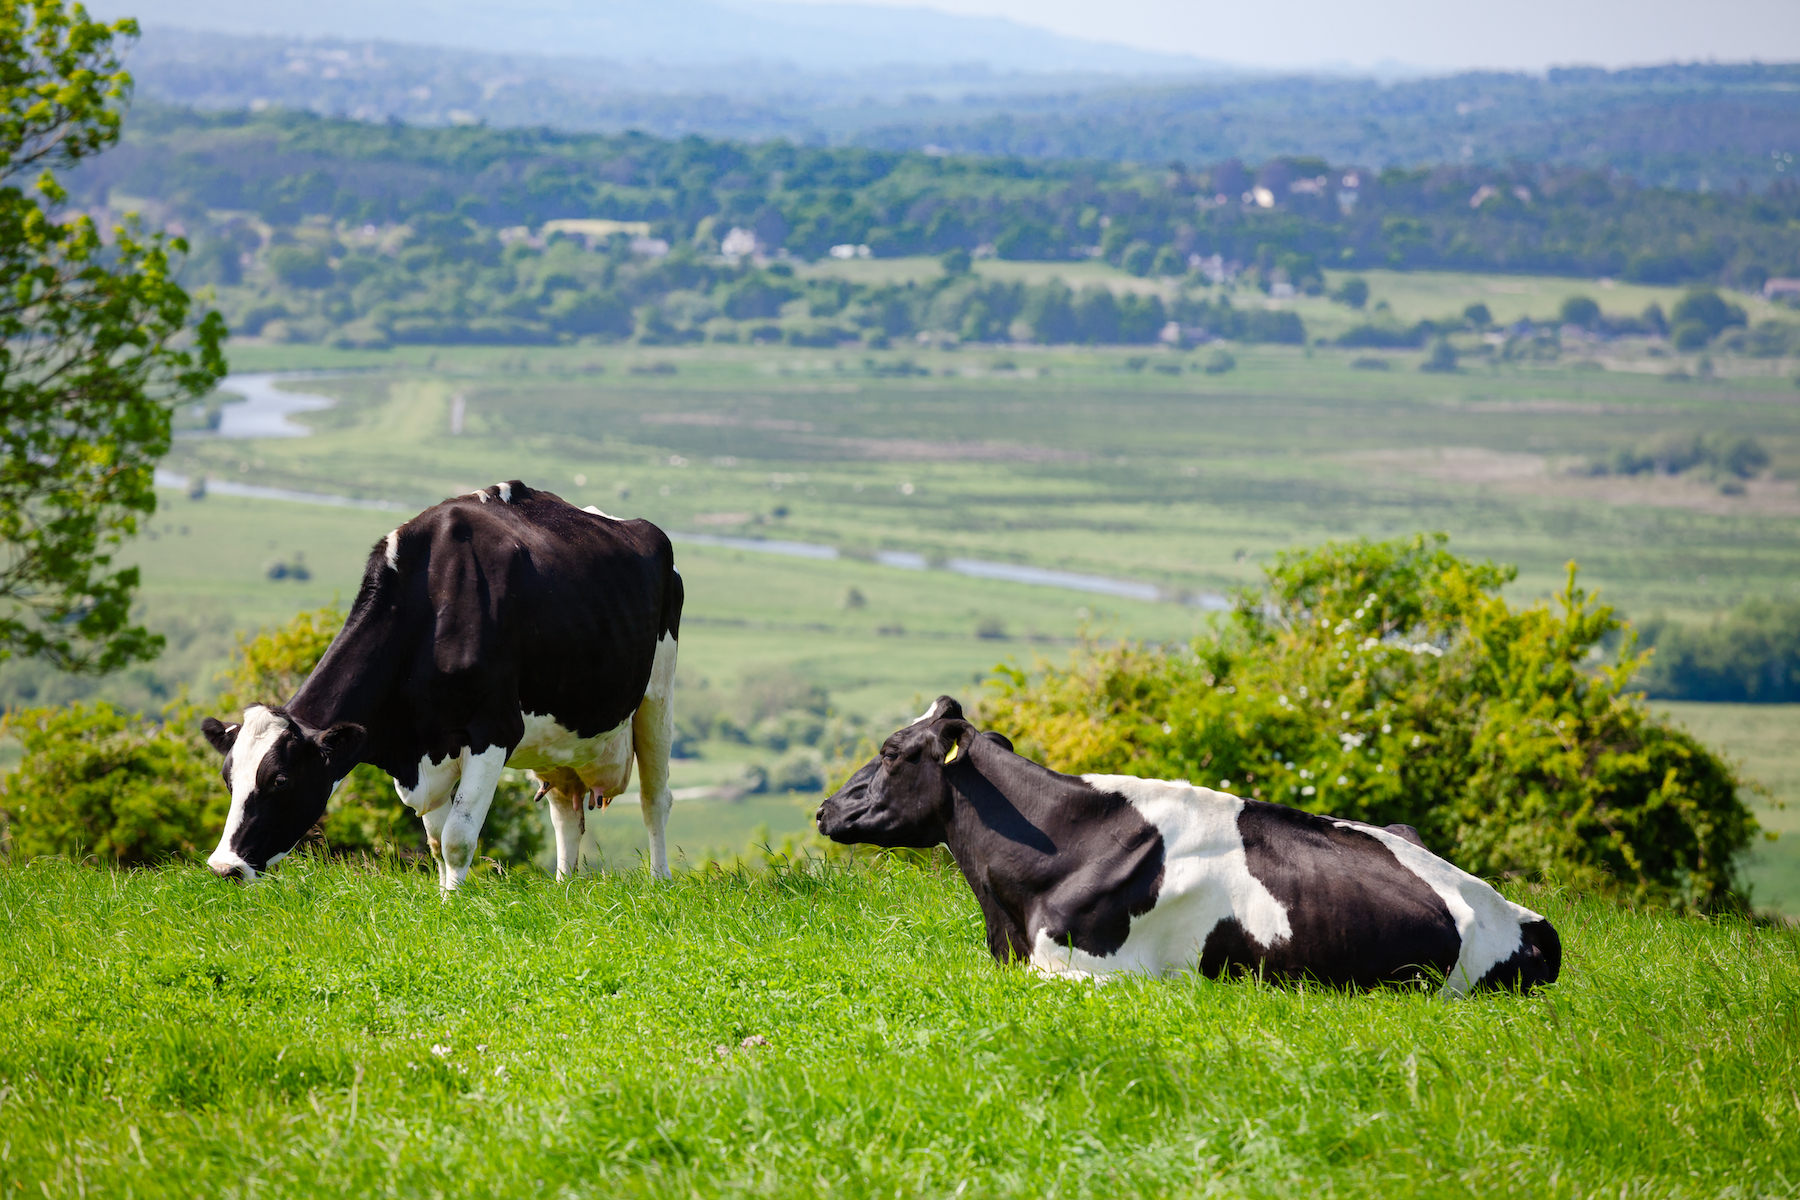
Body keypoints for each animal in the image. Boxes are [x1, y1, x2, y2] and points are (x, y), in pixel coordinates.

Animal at [201, 481, 683, 889]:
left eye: (280, 780)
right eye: (227, 779)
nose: (224, 867)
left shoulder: (494, 731)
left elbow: (457, 839)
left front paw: (454, 907)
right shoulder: (424, 750)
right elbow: (435, 843)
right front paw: (442, 899)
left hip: (657, 697)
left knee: (655, 798)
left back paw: (658, 883)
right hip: (560, 738)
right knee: (566, 810)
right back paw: (564, 889)